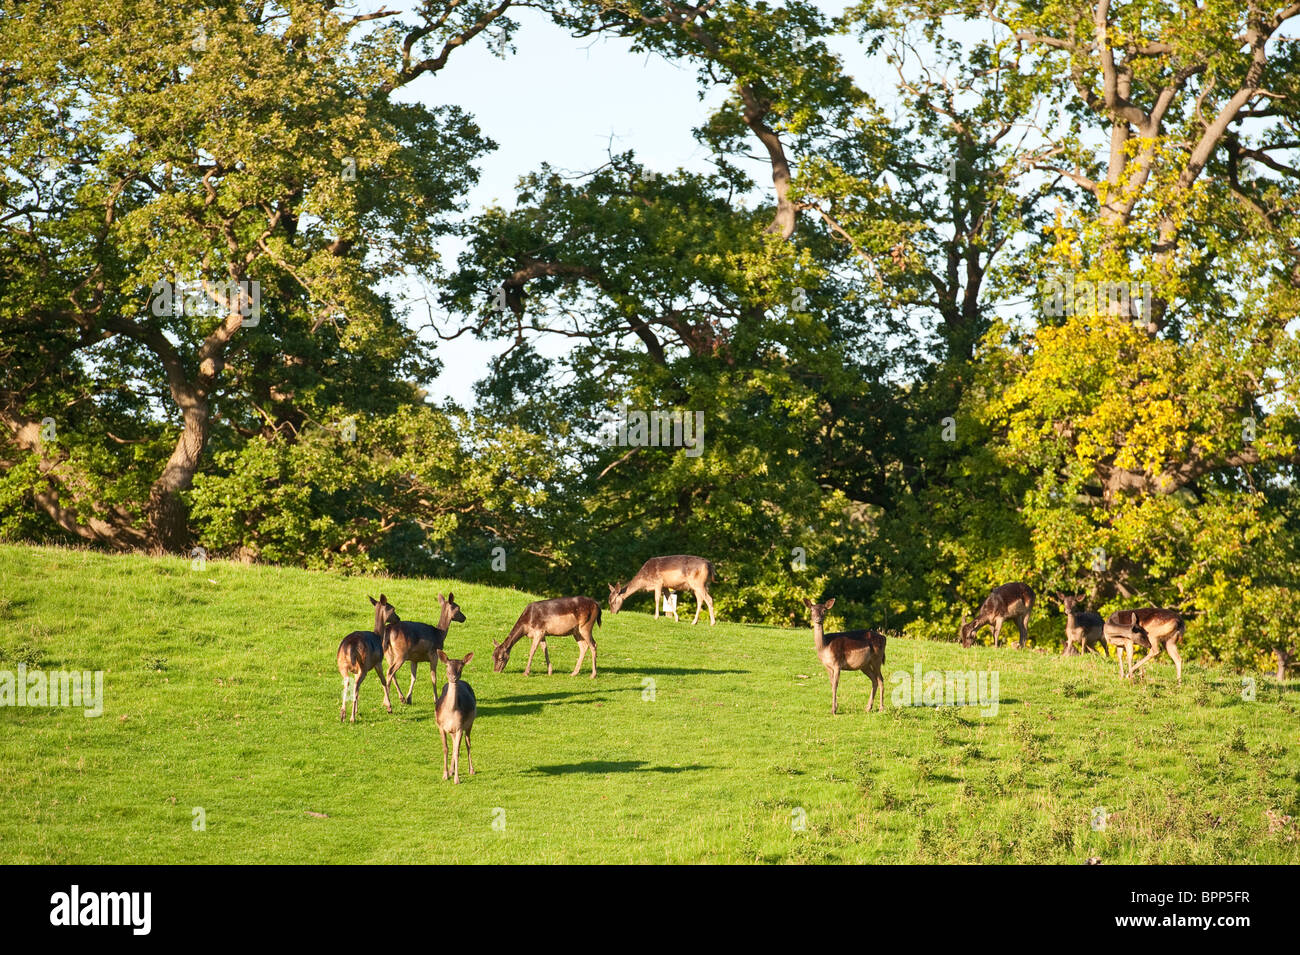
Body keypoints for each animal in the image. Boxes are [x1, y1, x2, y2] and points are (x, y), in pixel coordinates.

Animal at [435, 650, 476, 784]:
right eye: (447, 666)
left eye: (461, 667)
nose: (453, 677)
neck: (451, 713)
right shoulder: (441, 726)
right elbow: (446, 749)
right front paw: (445, 775)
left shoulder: (460, 727)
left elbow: (457, 751)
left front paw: (457, 780)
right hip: (452, 731)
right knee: (453, 745)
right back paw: (451, 771)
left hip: (469, 723)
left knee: (468, 743)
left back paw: (471, 770)